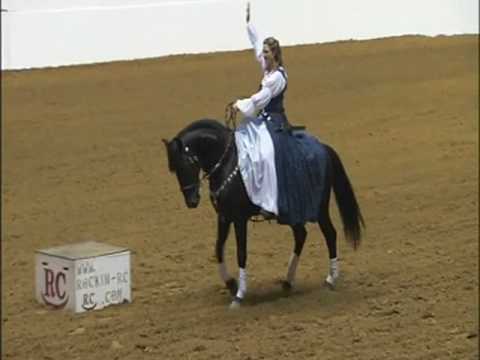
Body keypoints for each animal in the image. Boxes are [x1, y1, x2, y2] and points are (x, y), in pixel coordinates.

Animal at [163, 119, 366, 308]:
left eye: (186, 163)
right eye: (174, 169)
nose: (191, 201)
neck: (228, 164)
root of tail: (323, 148)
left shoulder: (239, 219)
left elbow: (241, 253)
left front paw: (239, 296)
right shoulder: (224, 216)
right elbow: (218, 249)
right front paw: (231, 283)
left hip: (320, 209)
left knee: (330, 234)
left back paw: (330, 279)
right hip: (294, 213)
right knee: (301, 235)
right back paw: (287, 282)